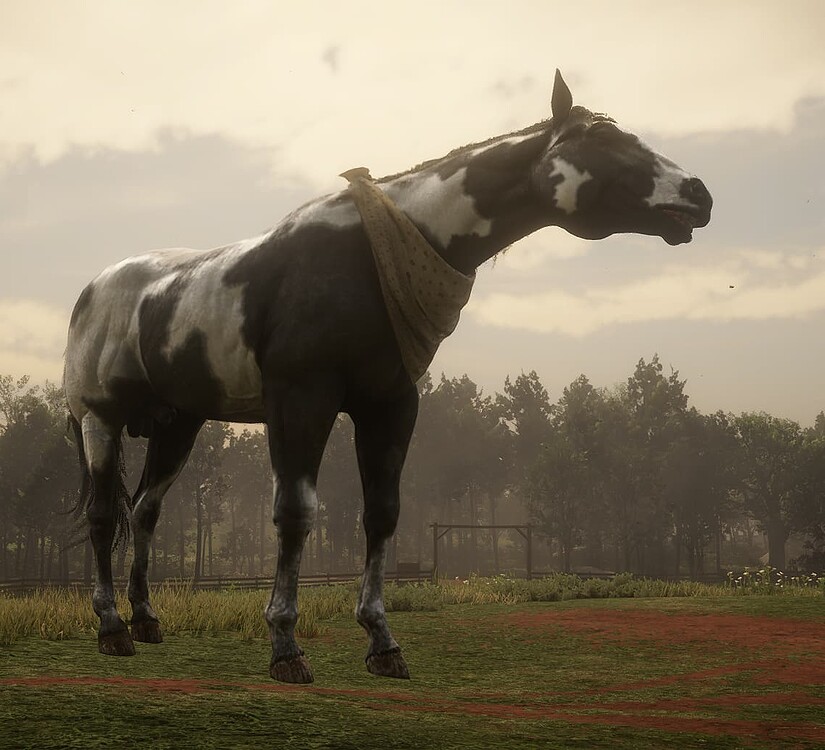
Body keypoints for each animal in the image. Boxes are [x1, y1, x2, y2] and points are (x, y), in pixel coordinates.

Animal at [63, 70, 712, 684]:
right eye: (604, 140)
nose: (699, 194)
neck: (368, 256)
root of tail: (92, 291)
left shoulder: (390, 404)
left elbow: (382, 513)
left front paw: (382, 642)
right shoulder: (301, 398)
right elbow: (295, 512)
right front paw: (285, 646)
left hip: (179, 425)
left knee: (144, 512)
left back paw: (146, 620)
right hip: (101, 421)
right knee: (103, 516)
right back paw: (112, 627)